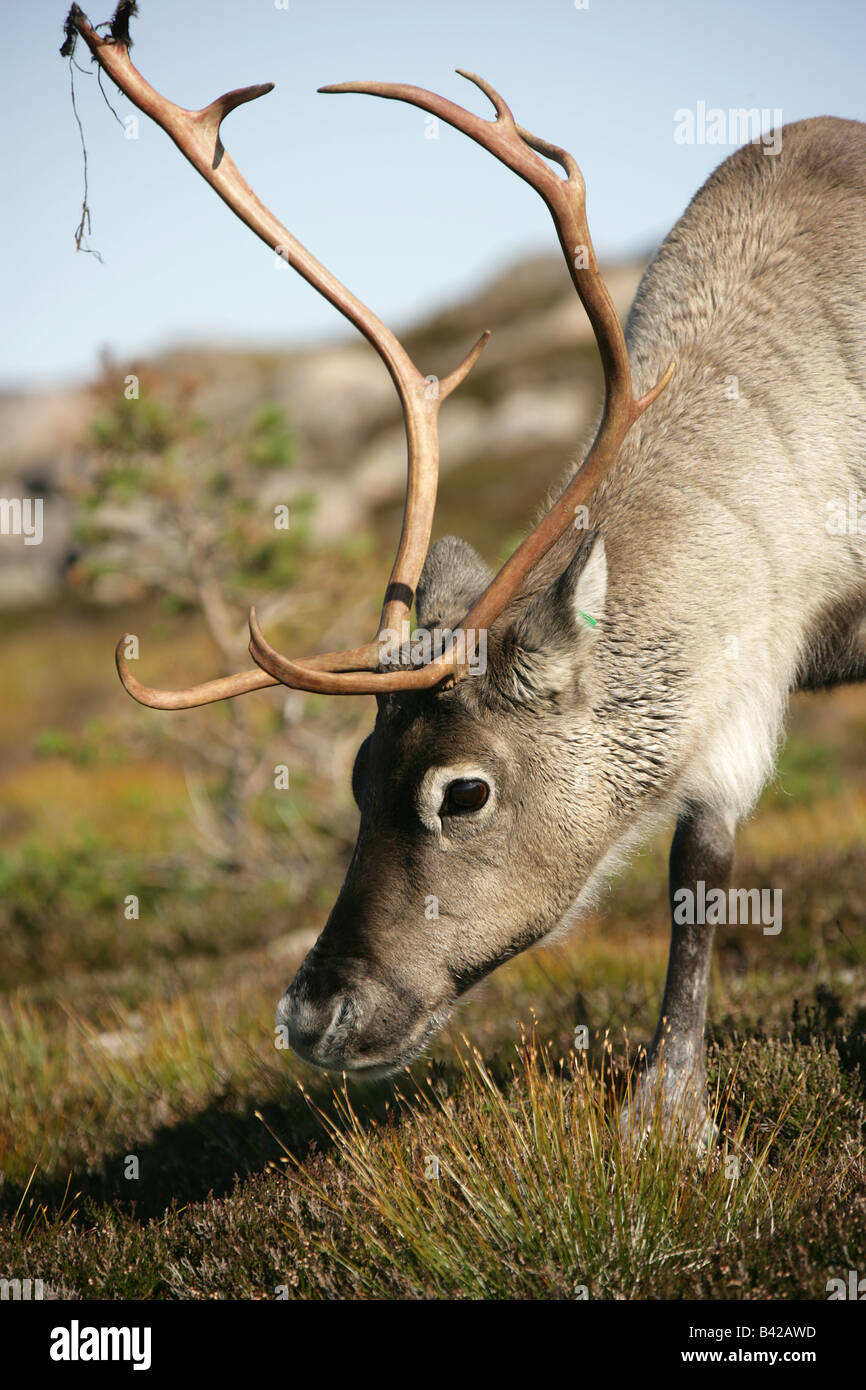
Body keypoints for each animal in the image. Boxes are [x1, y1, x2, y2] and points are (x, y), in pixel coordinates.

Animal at [67, 6, 866, 1142]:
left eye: (465, 791)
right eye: (357, 776)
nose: (312, 1014)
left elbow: (700, 869)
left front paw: (667, 1120)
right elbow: (698, 855)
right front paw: (670, 1110)